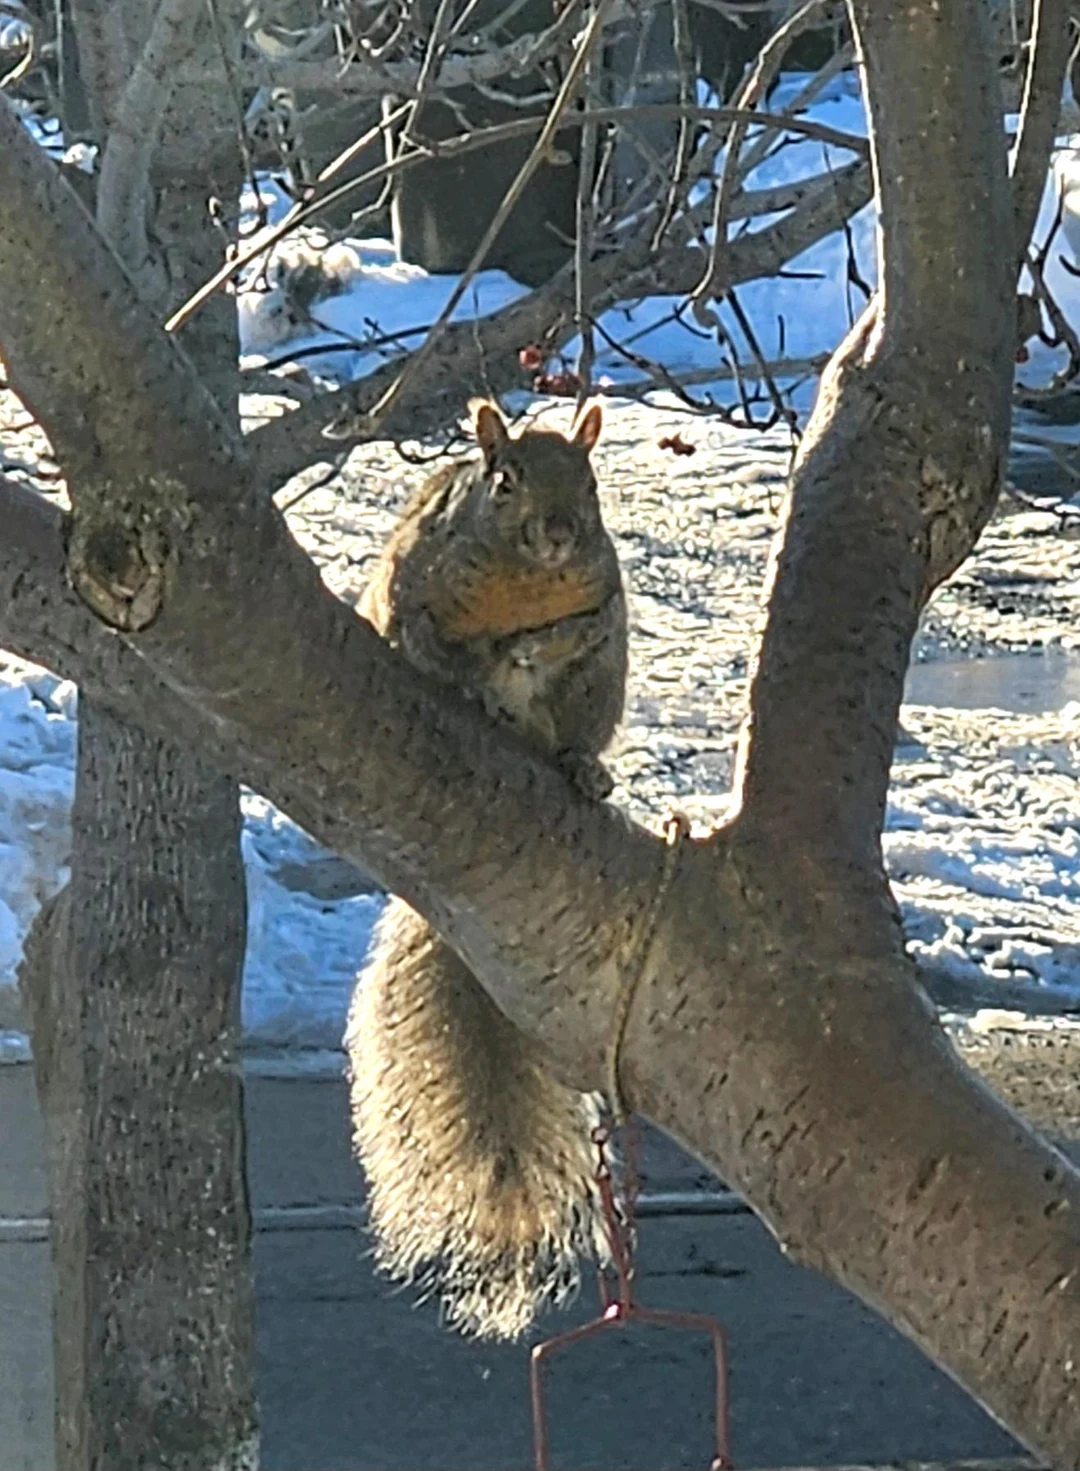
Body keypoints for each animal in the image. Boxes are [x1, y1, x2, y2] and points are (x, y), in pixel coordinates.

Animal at [345, 398, 627, 1341]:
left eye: (590, 479)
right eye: (503, 481)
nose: (560, 530)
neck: (525, 579)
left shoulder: (604, 602)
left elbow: (585, 630)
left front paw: (544, 651)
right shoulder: (414, 582)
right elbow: (432, 642)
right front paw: (476, 673)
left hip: (599, 691)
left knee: (571, 729)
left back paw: (578, 766)